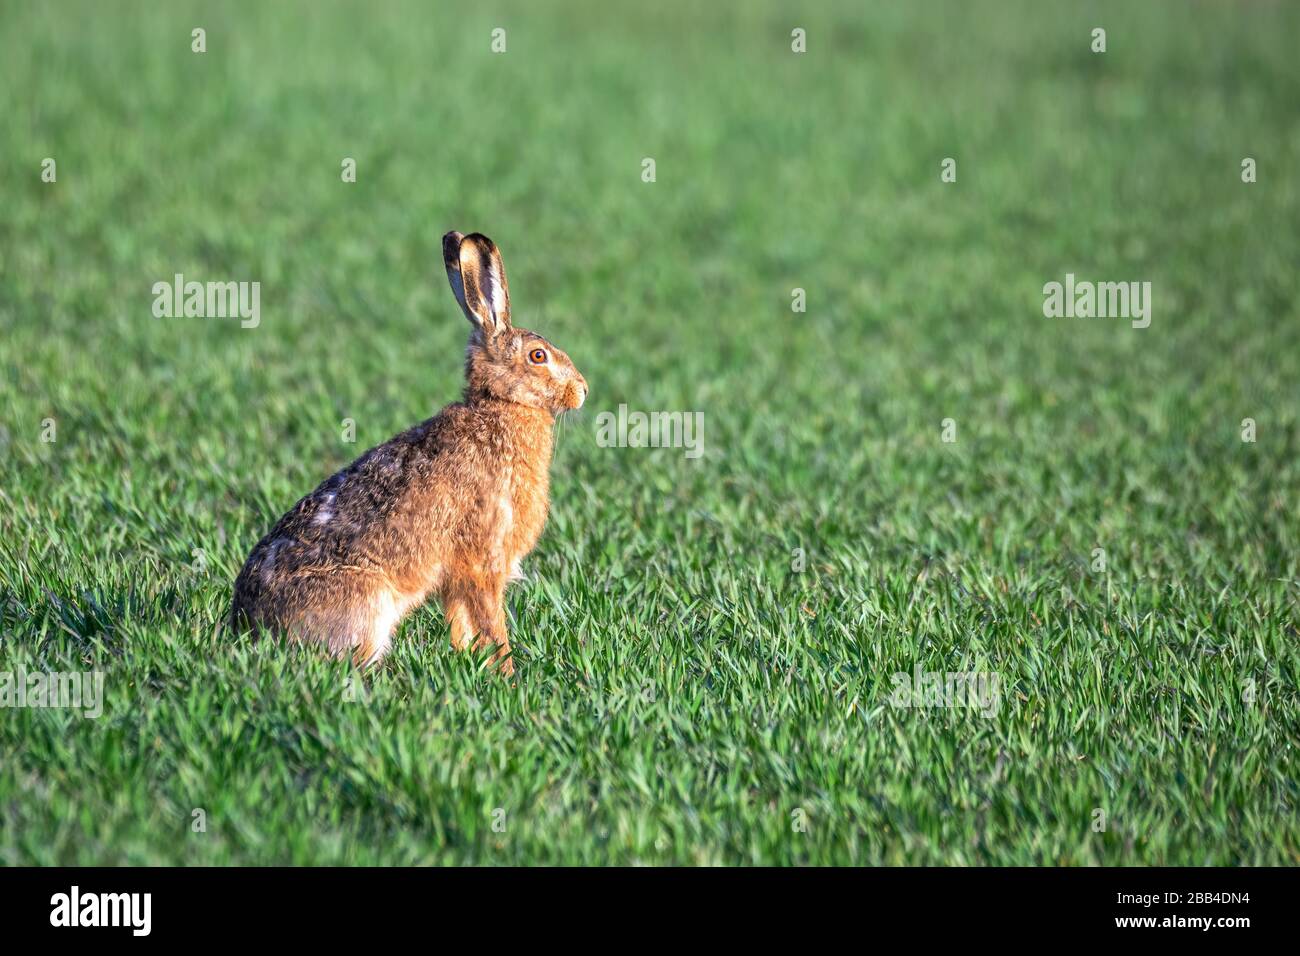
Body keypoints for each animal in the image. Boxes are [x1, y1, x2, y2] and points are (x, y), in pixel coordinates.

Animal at [229, 231, 587, 676]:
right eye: (538, 356)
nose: (583, 390)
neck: (499, 406)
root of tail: (248, 624)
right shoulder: (484, 559)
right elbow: (492, 622)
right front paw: (508, 675)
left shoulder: (458, 578)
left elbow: (462, 624)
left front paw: (470, 664)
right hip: (369, 601)